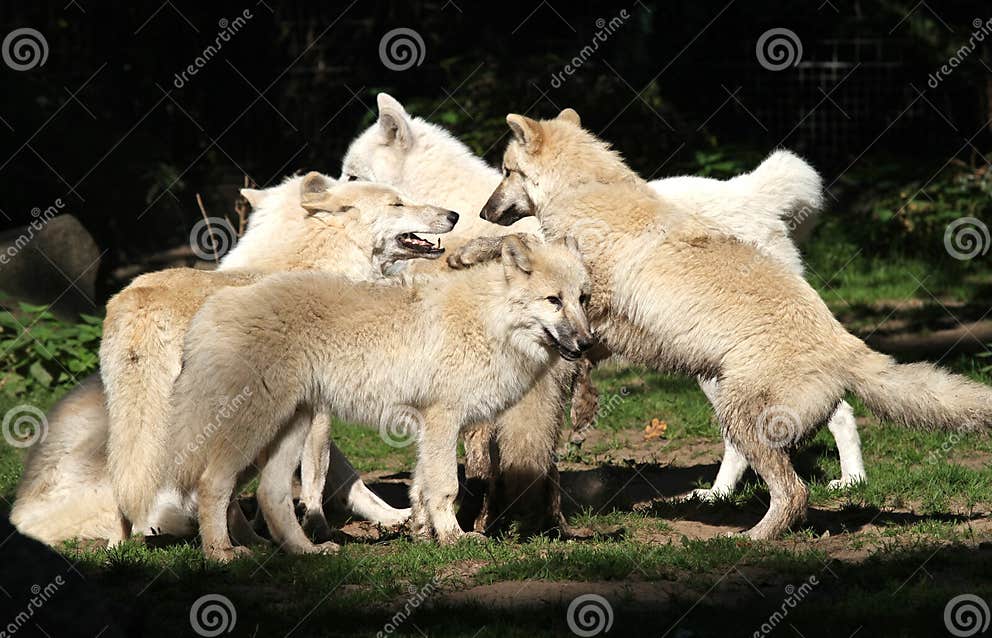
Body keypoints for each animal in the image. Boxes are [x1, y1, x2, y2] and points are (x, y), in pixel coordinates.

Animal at [142, 237, 590, 561]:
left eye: (582, 299)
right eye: (554, 300)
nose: (587, 343)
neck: (488, 321)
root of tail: (209, 308)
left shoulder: (427, 430)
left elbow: (419, 489)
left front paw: (423, 536)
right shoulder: (443, 421)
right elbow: (445, 488)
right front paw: (454, 538)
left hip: (290, 431)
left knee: (270, 497)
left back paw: (304, 551)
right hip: (253, 431)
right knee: (212, 486)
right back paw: (221, 554)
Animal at [342, 94, 864, 510]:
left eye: (351, 177)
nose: (324, 200)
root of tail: (752, 193)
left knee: (817, 416)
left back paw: (847, 481)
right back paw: (725, 493)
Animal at [478, 110, 992, 539]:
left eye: (504, 171)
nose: (482, 212)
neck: (587, 191)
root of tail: (845, 344)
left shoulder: (592, 306)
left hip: (737, 411)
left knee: (794, 493)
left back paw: (751, 538)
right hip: (725, 393)